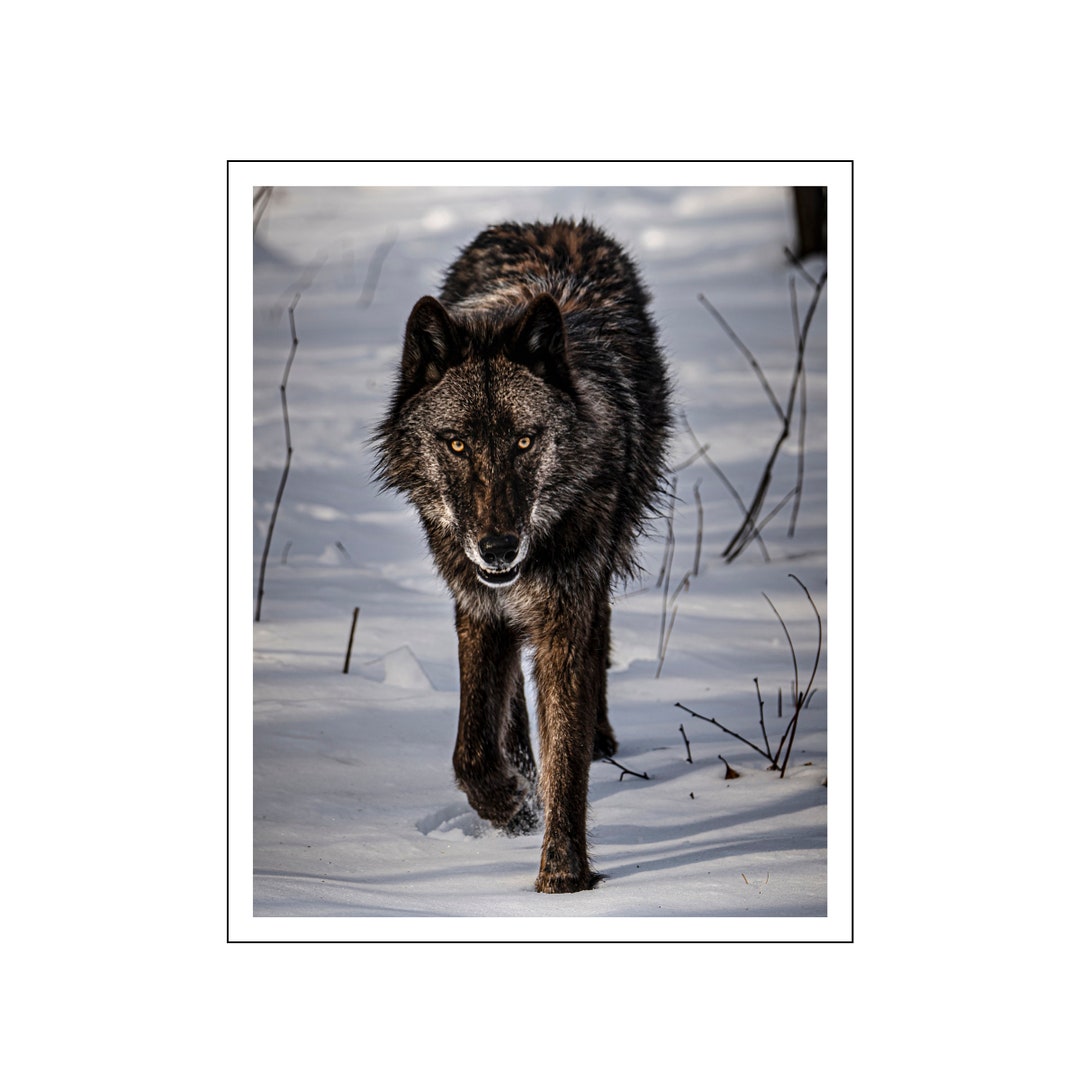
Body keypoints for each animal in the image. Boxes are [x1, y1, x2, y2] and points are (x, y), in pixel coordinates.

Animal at [374, 219, 672, 892]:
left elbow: (567, 754)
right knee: (506, 704)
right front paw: (511, 805)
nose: (498, 547)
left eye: (525, 441)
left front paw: (562, 875)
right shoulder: (477, 605)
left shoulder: (564, 614)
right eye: (457, 444)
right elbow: (470, 750)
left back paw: (597, 739)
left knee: (599, 635)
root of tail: (549, 224)